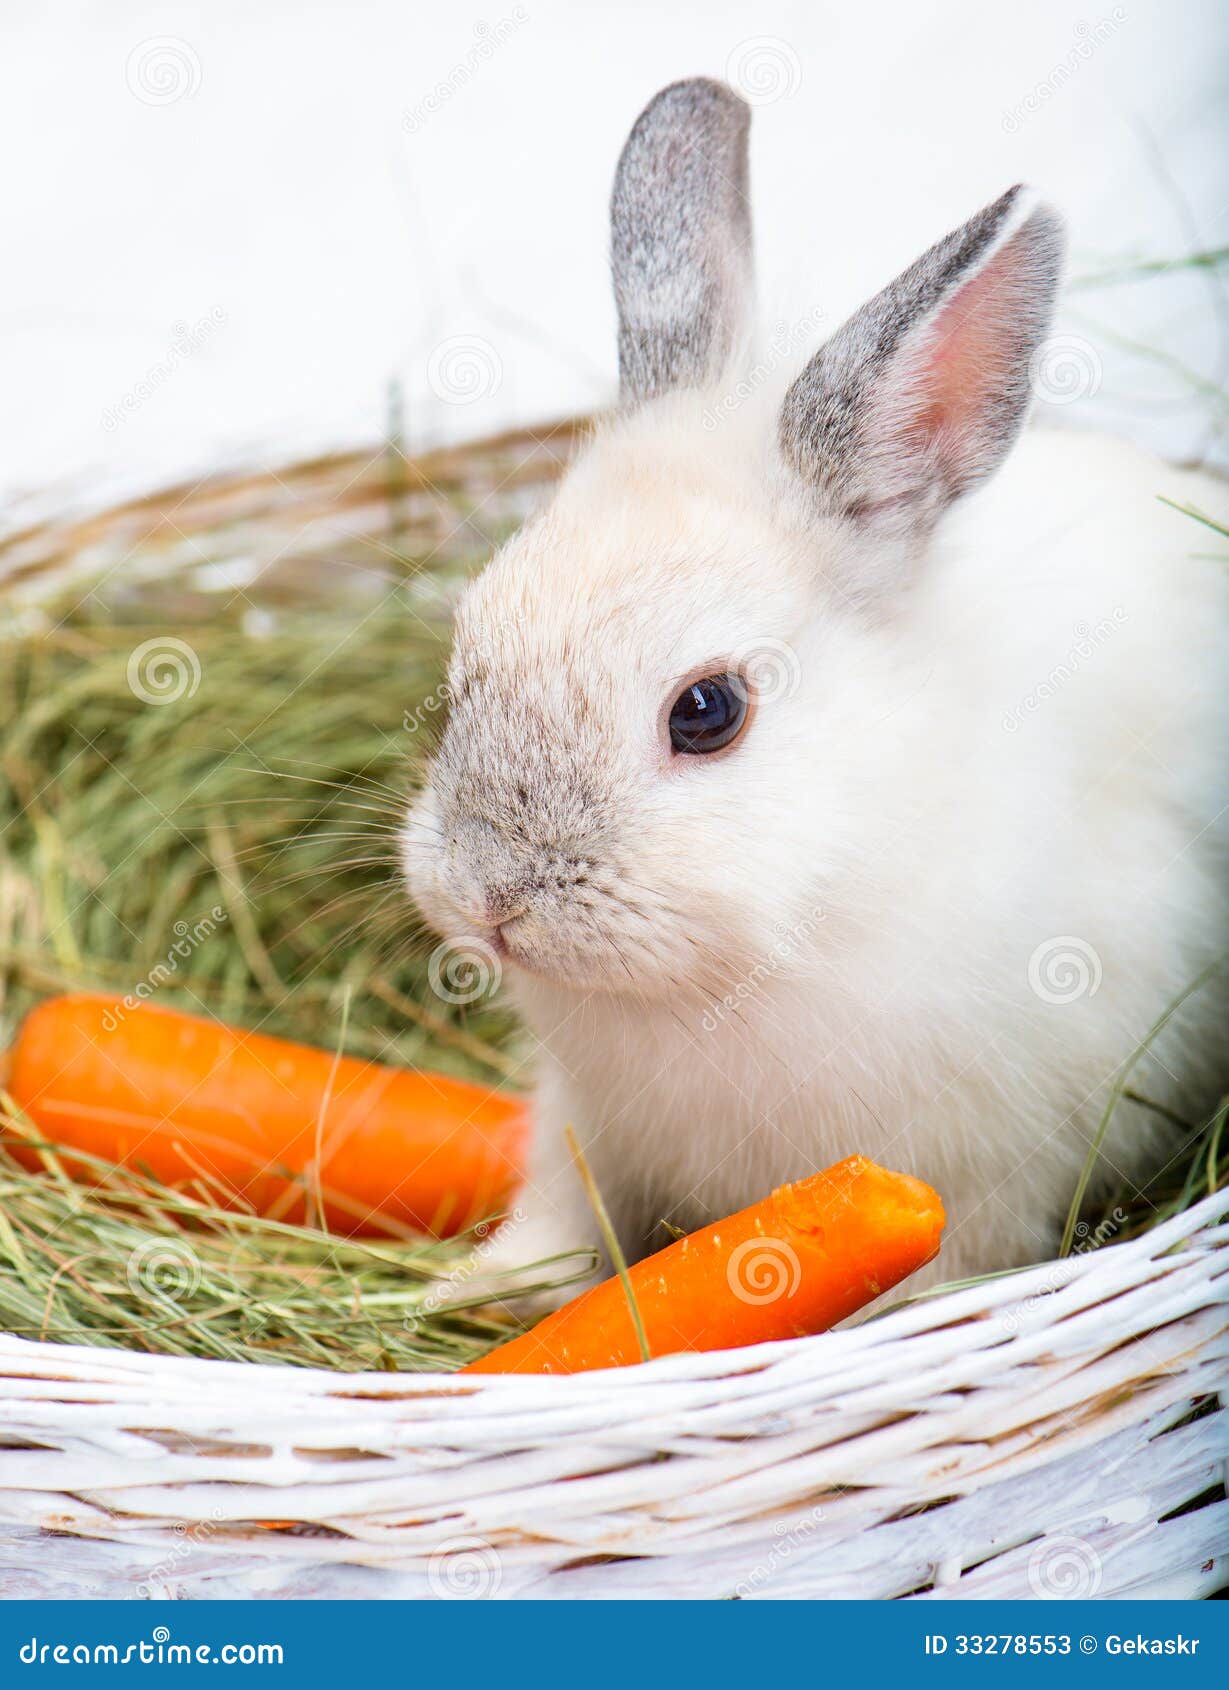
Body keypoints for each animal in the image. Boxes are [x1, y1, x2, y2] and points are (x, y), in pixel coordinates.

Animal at [402, 78, 1229, 1304]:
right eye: (465, 660)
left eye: (706, 712)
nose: (490, 897)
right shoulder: (579, 1119)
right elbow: (563, 1207)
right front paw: (482, 1288)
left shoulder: (987, 1171)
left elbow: (950, 1263)